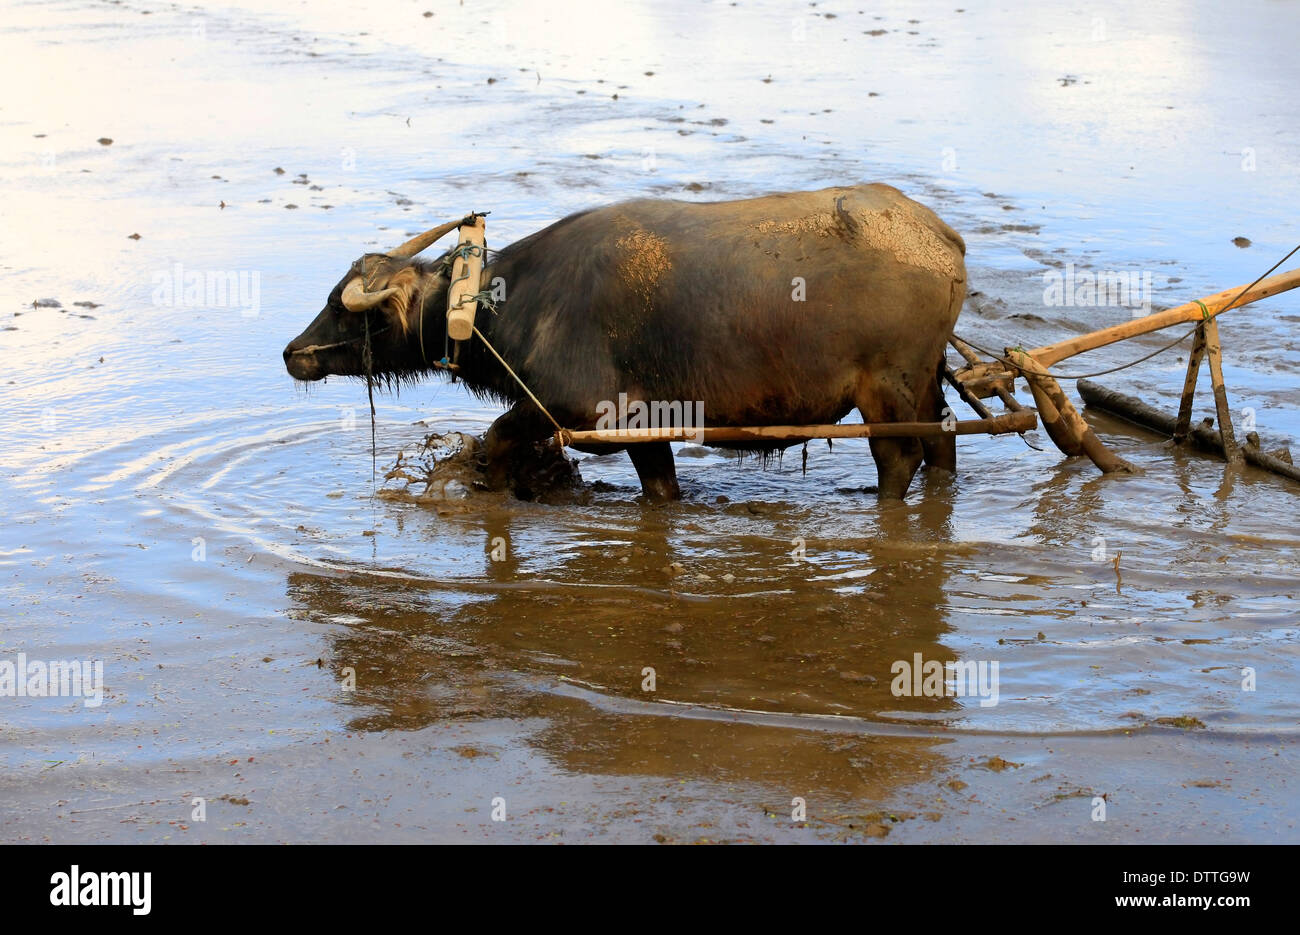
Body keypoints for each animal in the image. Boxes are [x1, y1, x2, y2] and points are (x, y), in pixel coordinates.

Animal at [284, 184, 967, 500]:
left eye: (340, 309)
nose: (292, 353)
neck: (509, 304)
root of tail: (941, 238)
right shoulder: (648, 429)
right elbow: (661, 489)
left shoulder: (575, 410)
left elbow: (498, 438)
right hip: (924, 382)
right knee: (942, 444)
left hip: (888, 391)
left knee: (898, 456)